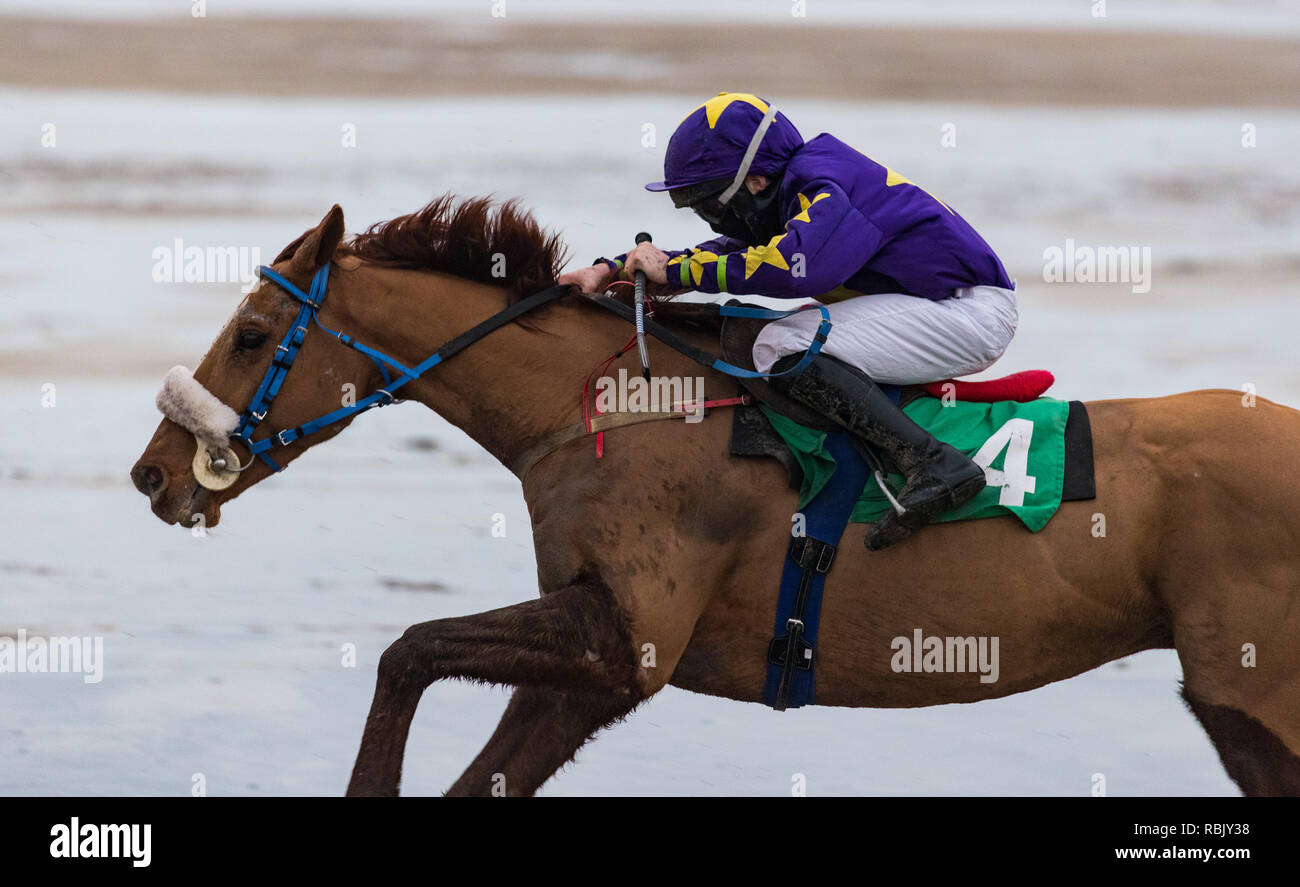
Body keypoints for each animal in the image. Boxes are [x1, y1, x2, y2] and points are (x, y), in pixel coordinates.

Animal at [131, 197, 1300, 796]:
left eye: (250, 335)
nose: (153, 472)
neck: (617, 404)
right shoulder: (596, 666)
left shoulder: (625, 635)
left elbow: (408, 647)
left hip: (1251, 695)